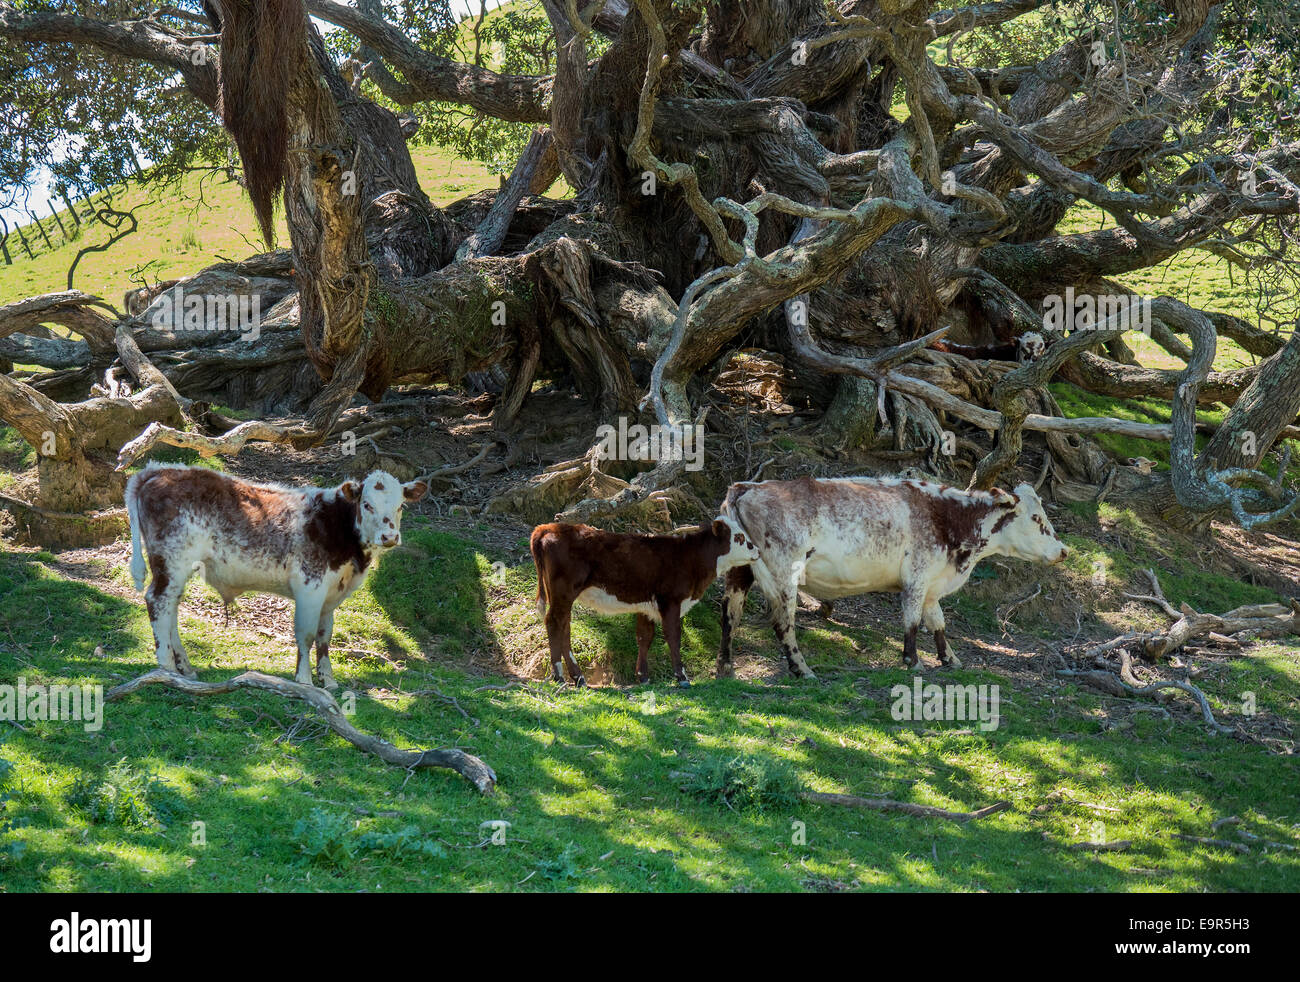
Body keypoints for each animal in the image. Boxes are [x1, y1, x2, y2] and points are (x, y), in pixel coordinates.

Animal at [125, 463, 427, 689]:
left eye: (400, 506)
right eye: (367, 505)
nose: (389, 537)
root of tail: (157, 471)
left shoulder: (330, 595)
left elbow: (324, 636)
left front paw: (328, 680)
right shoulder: (310, 587)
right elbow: (306, 634)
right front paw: (304, 680)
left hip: (176, 570)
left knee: (171, 608)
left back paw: (184, 667)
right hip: (171, 561)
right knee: (157, 602)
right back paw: (166, 666)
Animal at [530, 518, 760, 687]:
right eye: (739, 537)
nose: (757, 551)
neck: (689, 557)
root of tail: (551, 527)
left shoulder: (646, 607)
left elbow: (644, 637)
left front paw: (643, 676)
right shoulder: (670, 601)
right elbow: (673, 636)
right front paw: (682, 676)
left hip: (563, 597)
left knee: (564, 627)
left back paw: (578, 678)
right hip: (563, 593)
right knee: (554, 623)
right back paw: (559, 676)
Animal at [717, 476, 1068, 679]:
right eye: (1036, 518)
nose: (1064, 550)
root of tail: (747, 487)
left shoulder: (932, 583)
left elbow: (937, 621)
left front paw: (950, 659)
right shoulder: (917, 577)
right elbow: (912, 620)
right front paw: (913, 660)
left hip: (739, 569)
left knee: (730, 614)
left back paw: (725, 665)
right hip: (784, 572)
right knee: (782, 622)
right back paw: (802, 669)